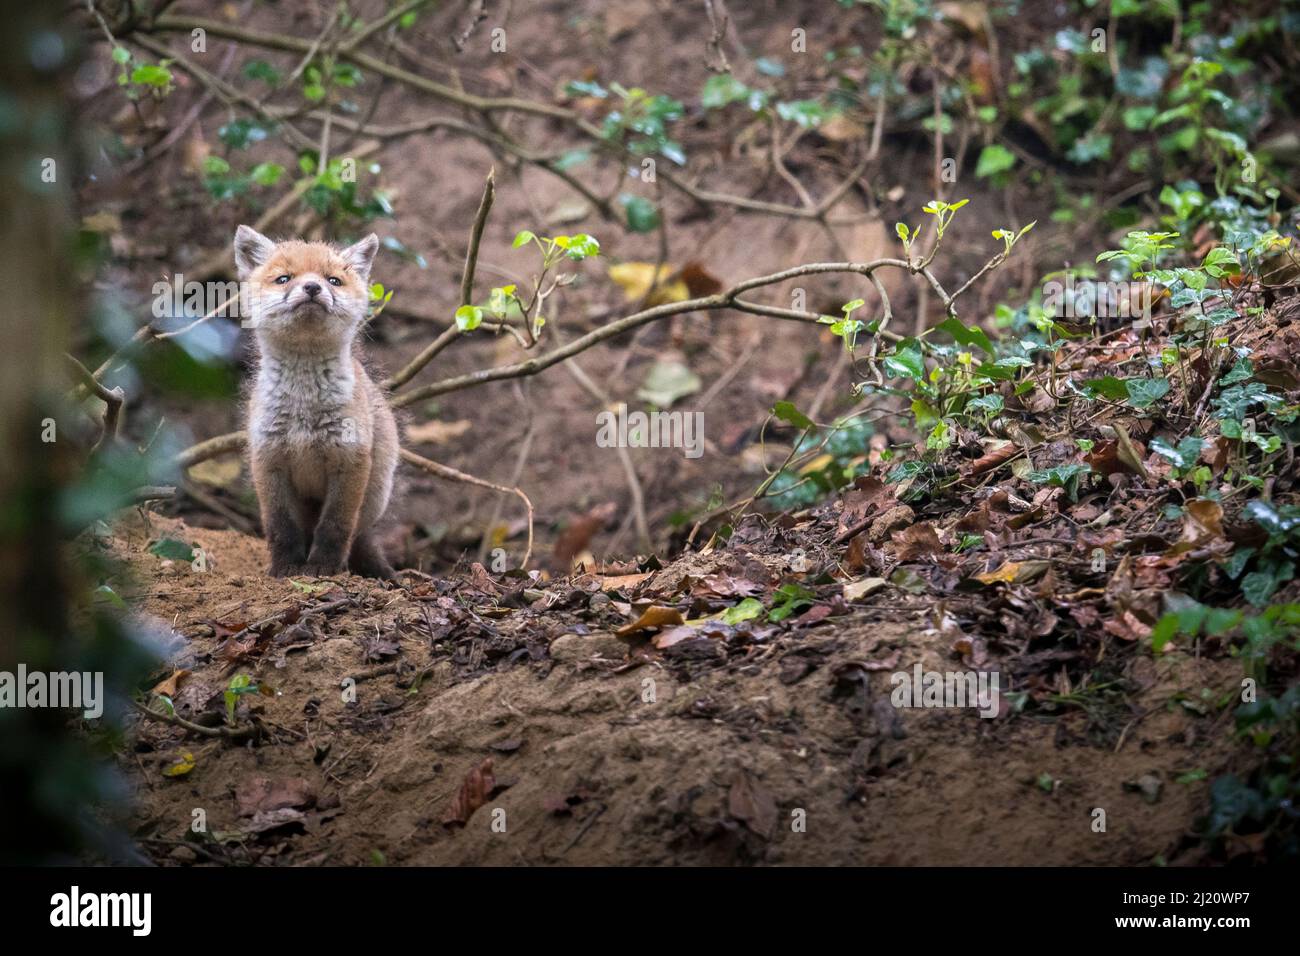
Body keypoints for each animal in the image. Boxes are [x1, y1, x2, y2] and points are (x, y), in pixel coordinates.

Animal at [234, 225, 399, 580]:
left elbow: (335, 527)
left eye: (333, 280)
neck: (303, 408)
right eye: (283, 278)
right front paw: (285, 567)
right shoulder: (268, 461)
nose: (312, 287)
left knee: (356, 535)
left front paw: (323, 567)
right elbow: (280, 528)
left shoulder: (350, 461)